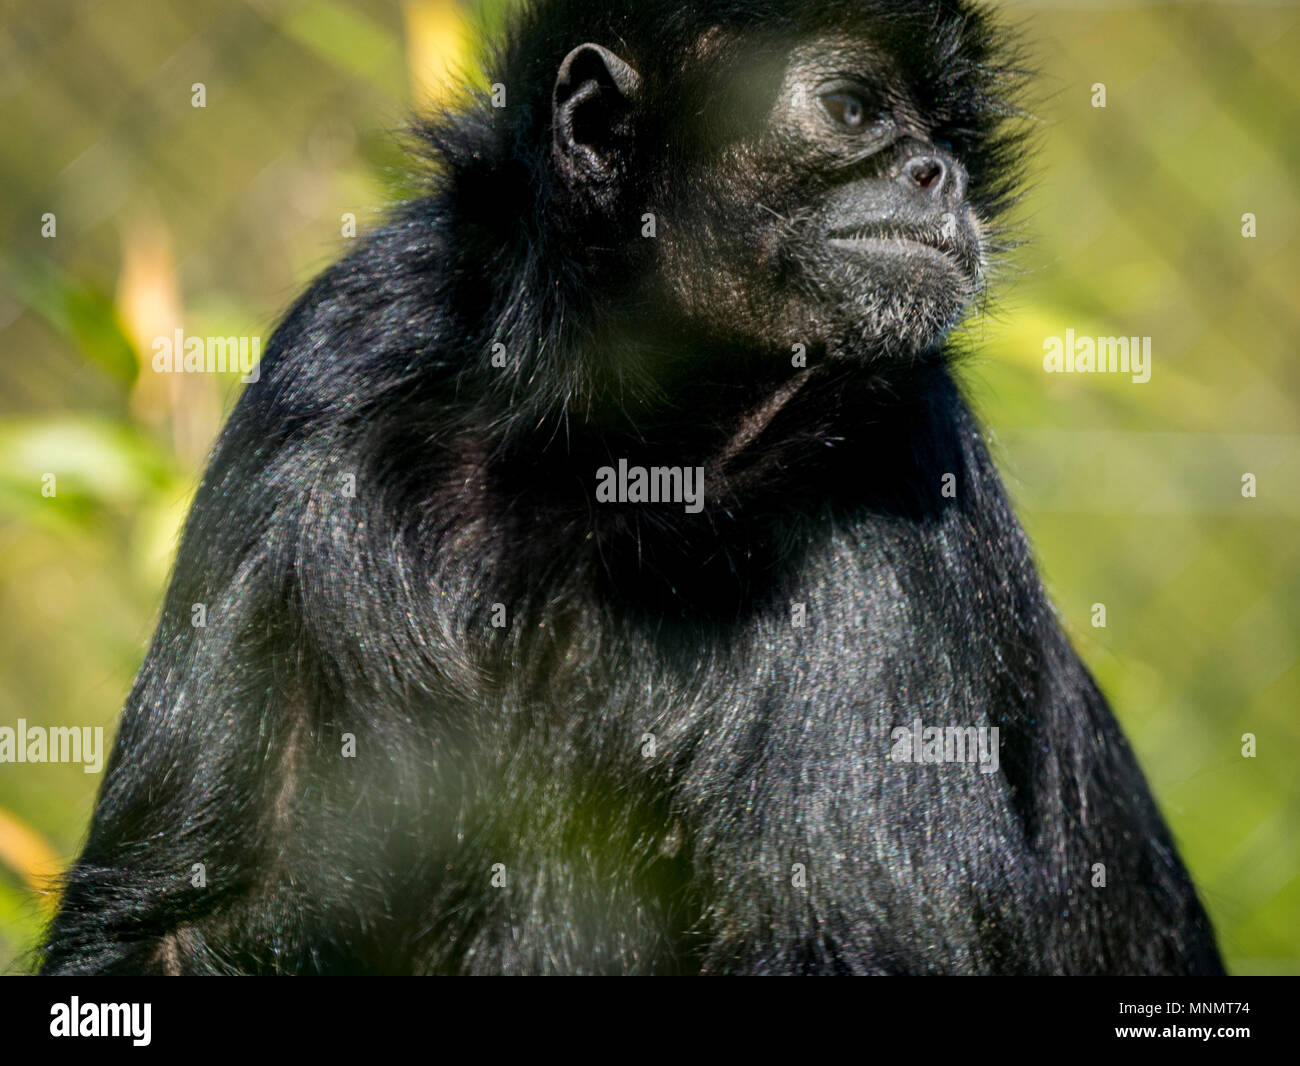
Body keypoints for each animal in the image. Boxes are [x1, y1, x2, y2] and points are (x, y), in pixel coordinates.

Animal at [39, 0, 1224, 975]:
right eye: (853, 109)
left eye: (950, 141)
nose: (940, 175)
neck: (609, 468)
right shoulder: (334, 364)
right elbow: (175, 929)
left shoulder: (891, 448)